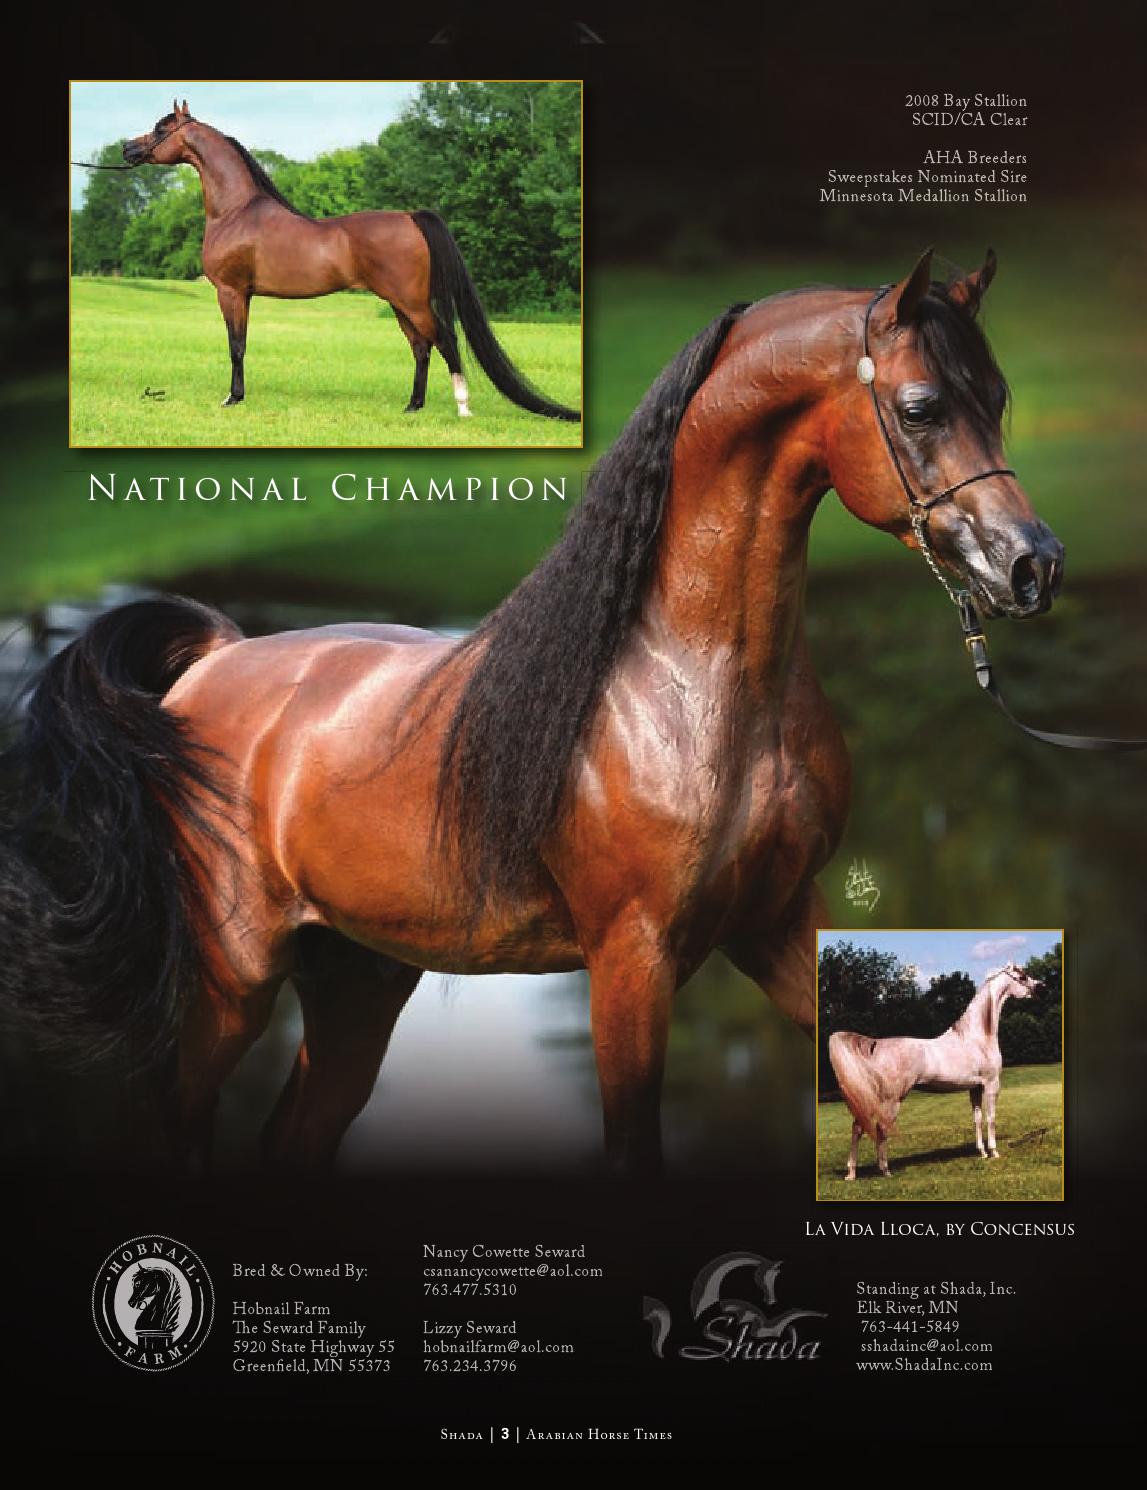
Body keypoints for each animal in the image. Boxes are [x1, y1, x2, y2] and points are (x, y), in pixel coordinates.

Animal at [119, 100, 579, 423]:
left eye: (162, 128)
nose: (126, 148)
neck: (236, 211)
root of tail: (410, 217)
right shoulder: (244, 295)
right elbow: (241, 345)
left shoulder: (231, 292)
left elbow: (236, 346)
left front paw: (233, 398)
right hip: (399, 304)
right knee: (421, 348)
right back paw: (413, 406)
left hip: (411, 302)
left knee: (444, 340)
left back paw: (462, 407)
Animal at [828, 962, 1043, 1180]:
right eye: (1022, 976)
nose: (1040, 986)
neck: (977, 1037)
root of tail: (876, 1045)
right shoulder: (992, 1084)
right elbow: (991, 1118)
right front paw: (994, 1152)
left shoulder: (975, 1088)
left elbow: (977, 1118)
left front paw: (981, 1152)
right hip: (891, 1100)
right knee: (879, 1128)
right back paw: (885, 1170)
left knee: (858, 1127)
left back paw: (851, 1173)